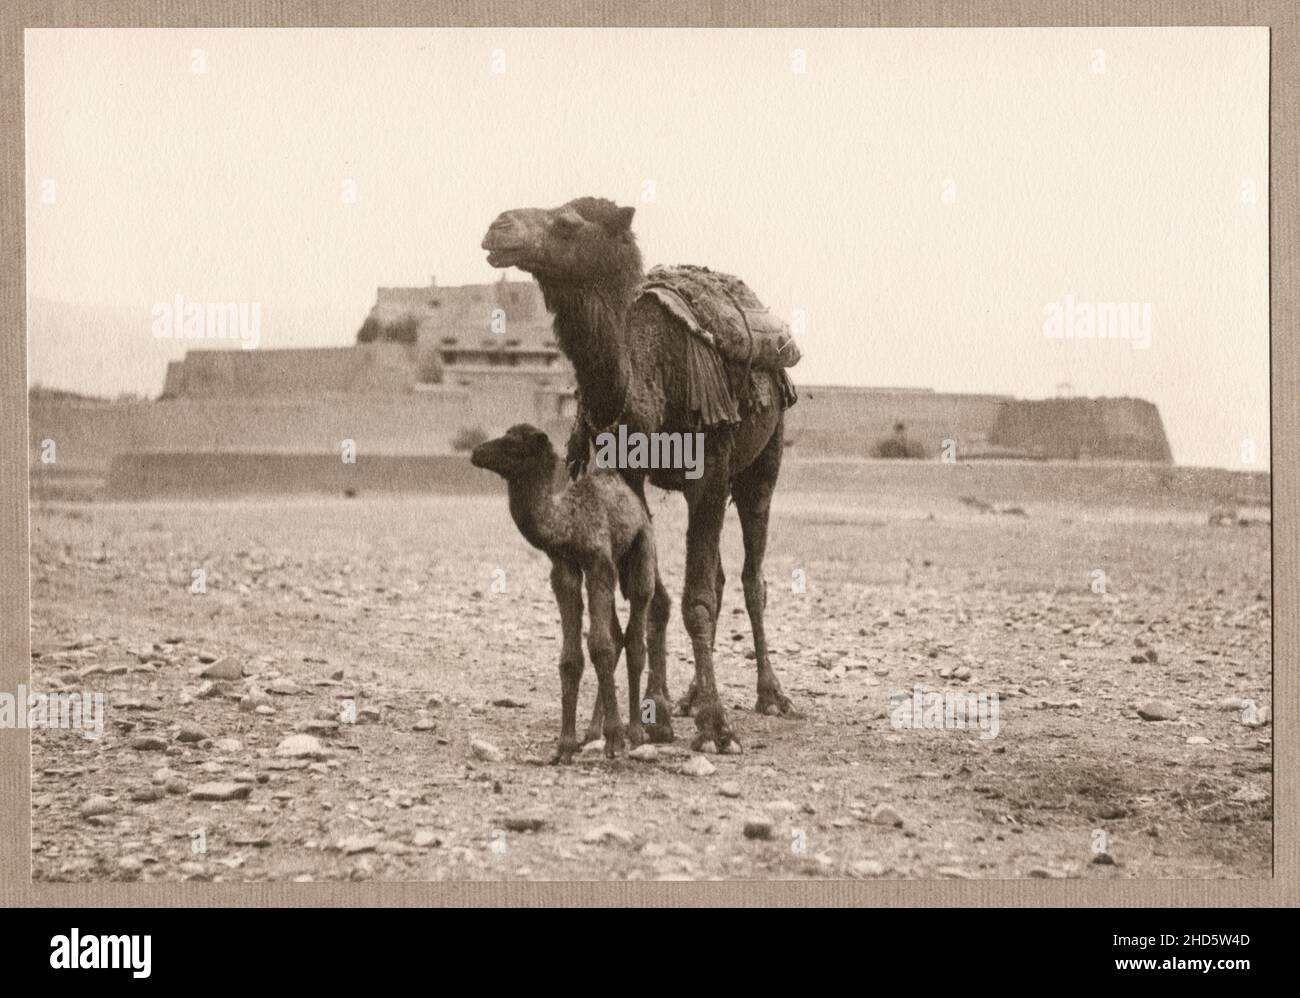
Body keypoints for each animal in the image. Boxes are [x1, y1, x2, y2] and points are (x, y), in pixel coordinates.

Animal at [470, 424, 656, 762]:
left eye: (514, 445)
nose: (477, 452)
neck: (568, 524)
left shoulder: (598, 562)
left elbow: (599, 647)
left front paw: (615, 740)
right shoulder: (564, 568)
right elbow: (572, 656)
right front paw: (565, 746)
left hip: (642, 548)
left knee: (636, 632)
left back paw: (635, 733)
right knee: (617, 635)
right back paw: (593, 732)